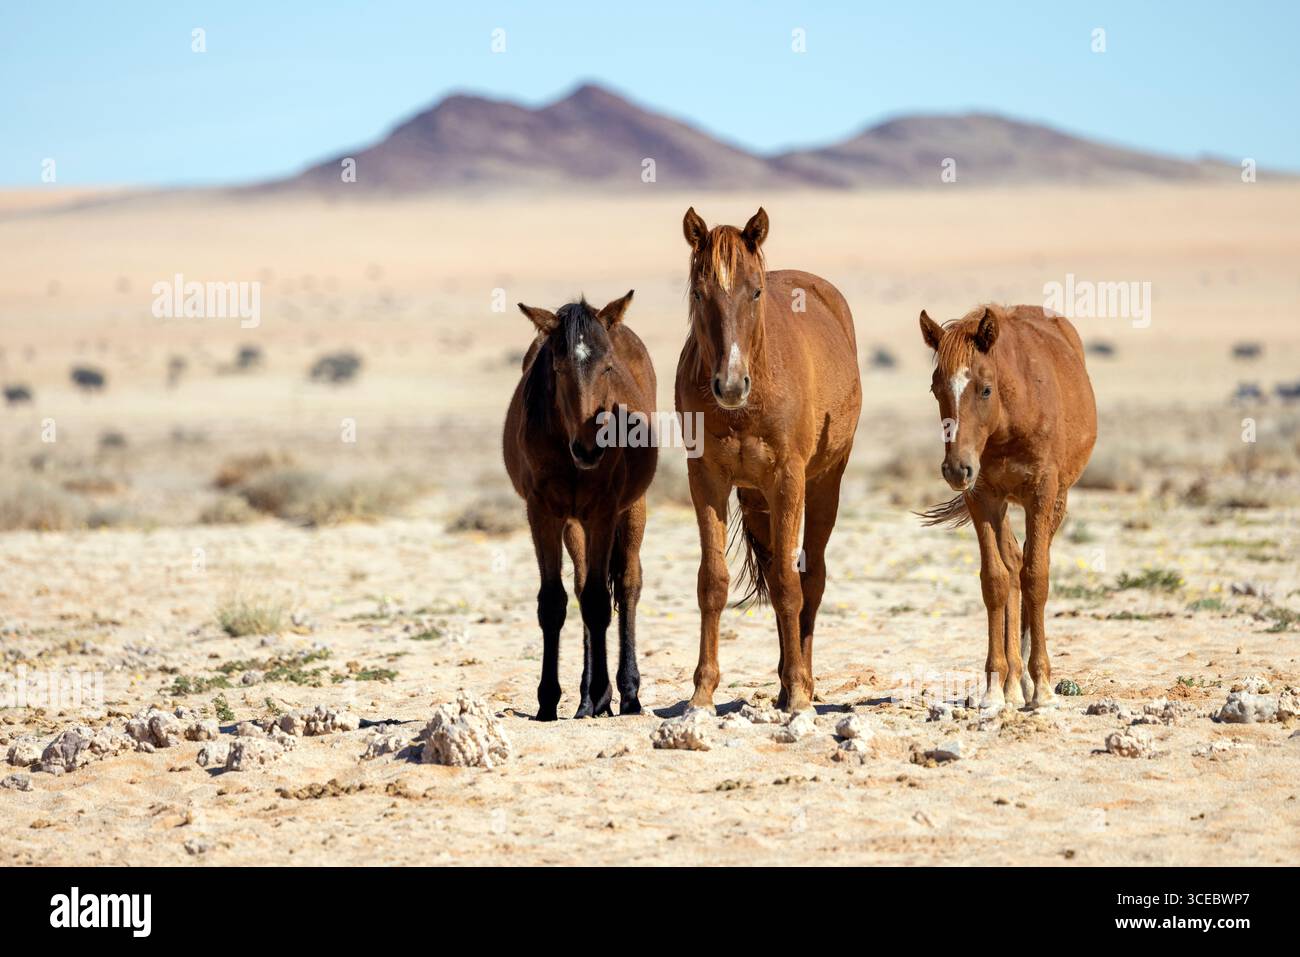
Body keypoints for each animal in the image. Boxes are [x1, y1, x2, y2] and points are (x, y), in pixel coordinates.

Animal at [503, 292, 658, 720]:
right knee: (582, 582)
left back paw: (628, 694)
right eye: (558, 367)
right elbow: (555, 602)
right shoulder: (543, 513)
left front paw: (608, 690)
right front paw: (548, 701)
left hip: (633, 508)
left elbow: (598, 601)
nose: (589, 449)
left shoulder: (604, 511)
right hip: (575, 525)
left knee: (628, 584)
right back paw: (589, 699)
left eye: (607, 367)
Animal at [676, 207, 862, 714]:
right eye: (699, 293)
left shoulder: (788, 480)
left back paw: (803, 683)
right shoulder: (708, 479)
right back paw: (780, 685)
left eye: (755, 291)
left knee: (809, 578)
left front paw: (799, 691)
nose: (730, 384)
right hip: (757, 498)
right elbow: (713, 581)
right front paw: (702, 692)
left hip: (823, 484)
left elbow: (787, 582)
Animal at [918, 304, 1097, 710]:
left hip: (1057, 502)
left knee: (1028, 562)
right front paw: (994, 688)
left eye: (985, 389)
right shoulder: (982, 497)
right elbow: (996, 580)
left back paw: (1028, 682)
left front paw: (1043, 687)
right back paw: (1015, 682)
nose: (956, 468)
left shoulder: (1042, 495)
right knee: (1013, 563)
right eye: (936, 389)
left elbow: (1036, 577)